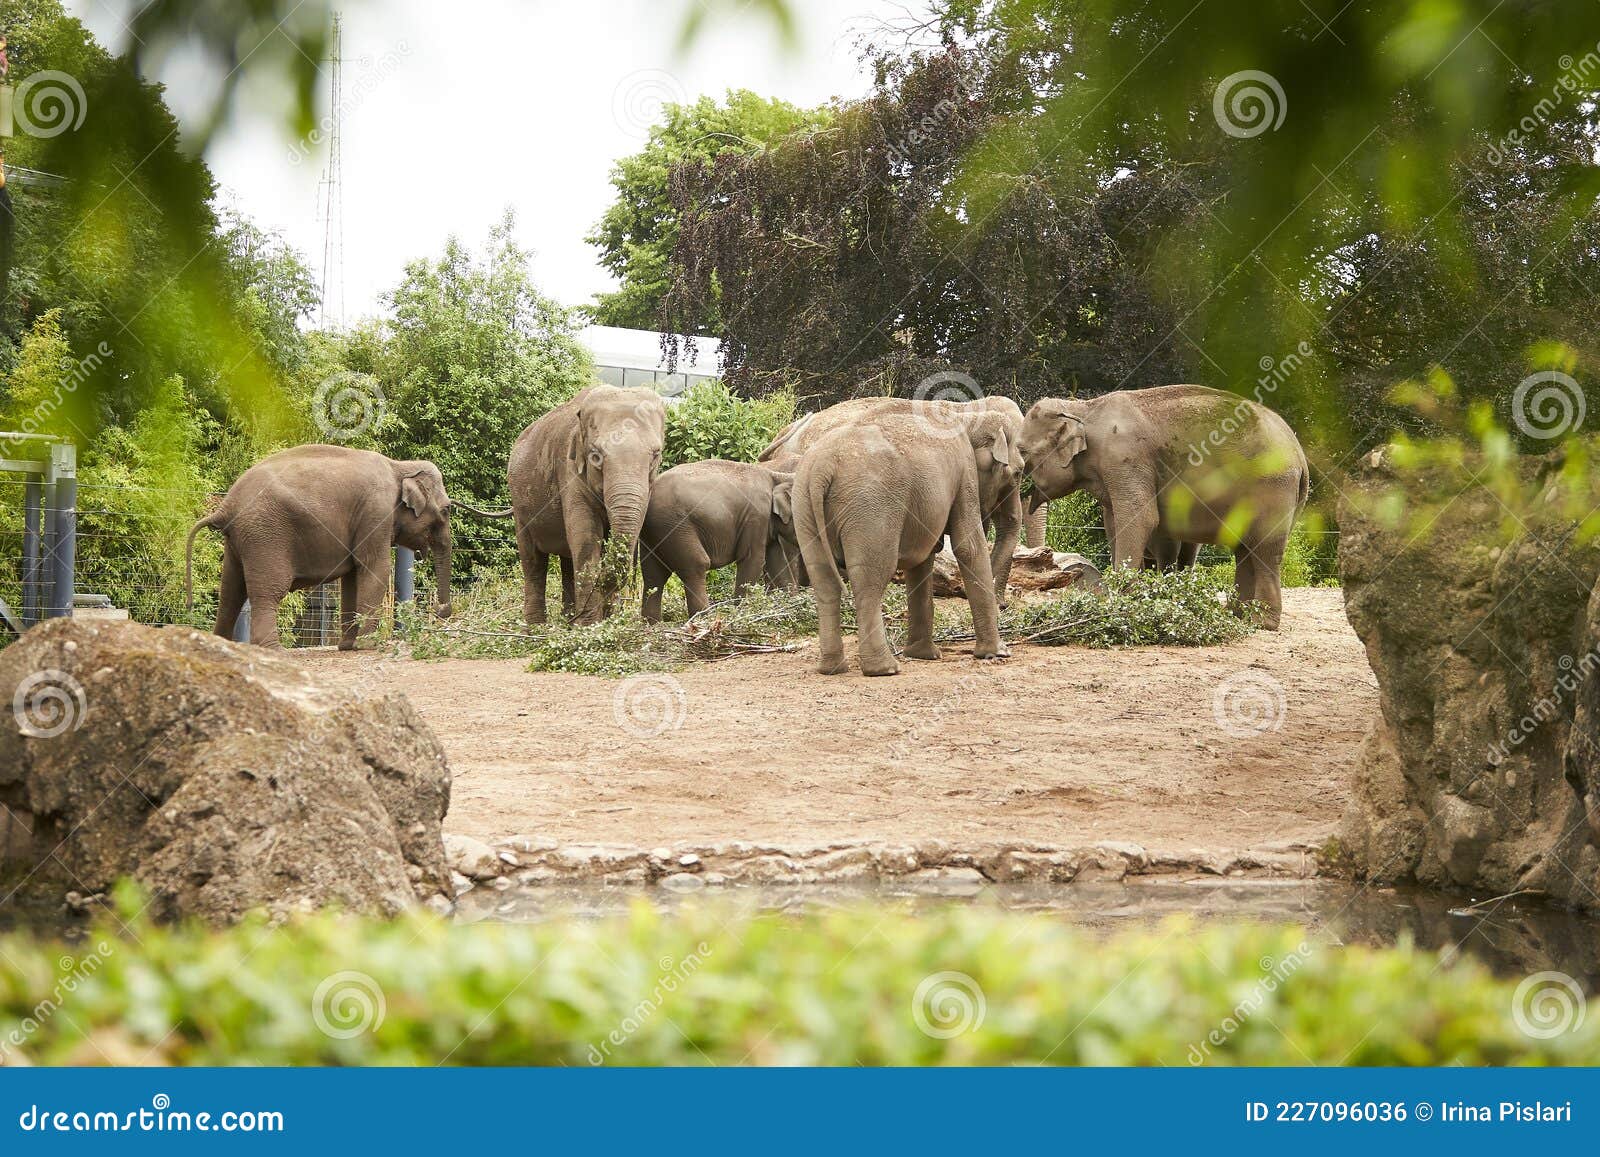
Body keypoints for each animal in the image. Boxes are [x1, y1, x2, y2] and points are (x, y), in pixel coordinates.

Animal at [185, 444, 453, 649]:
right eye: (447, 510)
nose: (440, 611)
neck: (399, 465)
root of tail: (225, 507)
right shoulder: (377, 512)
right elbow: (375, 568)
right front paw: (368, 645)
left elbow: (353, 578)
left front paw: (348, 646)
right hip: (264, 535)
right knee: (267, 592)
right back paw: (273, 650)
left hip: (238, 540)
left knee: (230, 591)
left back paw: (218, 644)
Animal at [507, 384, 666, 625]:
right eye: (596, 455)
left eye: (656, 454)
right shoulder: (569, 471)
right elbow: (586, 542)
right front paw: (590, 626)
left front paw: (607, 622)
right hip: (520, 507)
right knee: (533, 561)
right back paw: (536, 627)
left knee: (566, 561)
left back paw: (568, 621)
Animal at [639, 460, 798, 623]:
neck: (776, 476)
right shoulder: (757, 516)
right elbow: (753, 560)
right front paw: (741, 614)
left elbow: (778, 563)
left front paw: (794, 609)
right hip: (674, 525)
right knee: (696, 565)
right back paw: (703, 620)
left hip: (654, 534)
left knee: (653, 575)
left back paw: (653, 624)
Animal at [793, 411, 1013, 676]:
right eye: (1015, 473)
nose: (1004, 605)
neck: (968, 415)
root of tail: (822, 467)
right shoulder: (965, 471)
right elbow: (968, 547)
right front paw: (998, 652)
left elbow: (923, 559)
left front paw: (923, 655)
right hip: (870, 507)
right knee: (871, 579)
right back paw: (884, 669)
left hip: (804, 505)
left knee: (824, 581)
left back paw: (832, 668)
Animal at [1018, 384, 1309, 629]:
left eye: (1021, 451)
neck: (1084, 408)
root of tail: (1300, 454)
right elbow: (1113, 523)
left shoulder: (1125, 459)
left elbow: (1142, 519)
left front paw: (1124, 605)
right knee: (1245, 550)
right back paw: (1237, 616)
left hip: (1272, 487)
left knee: (1265, 550)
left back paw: (1263, 623)